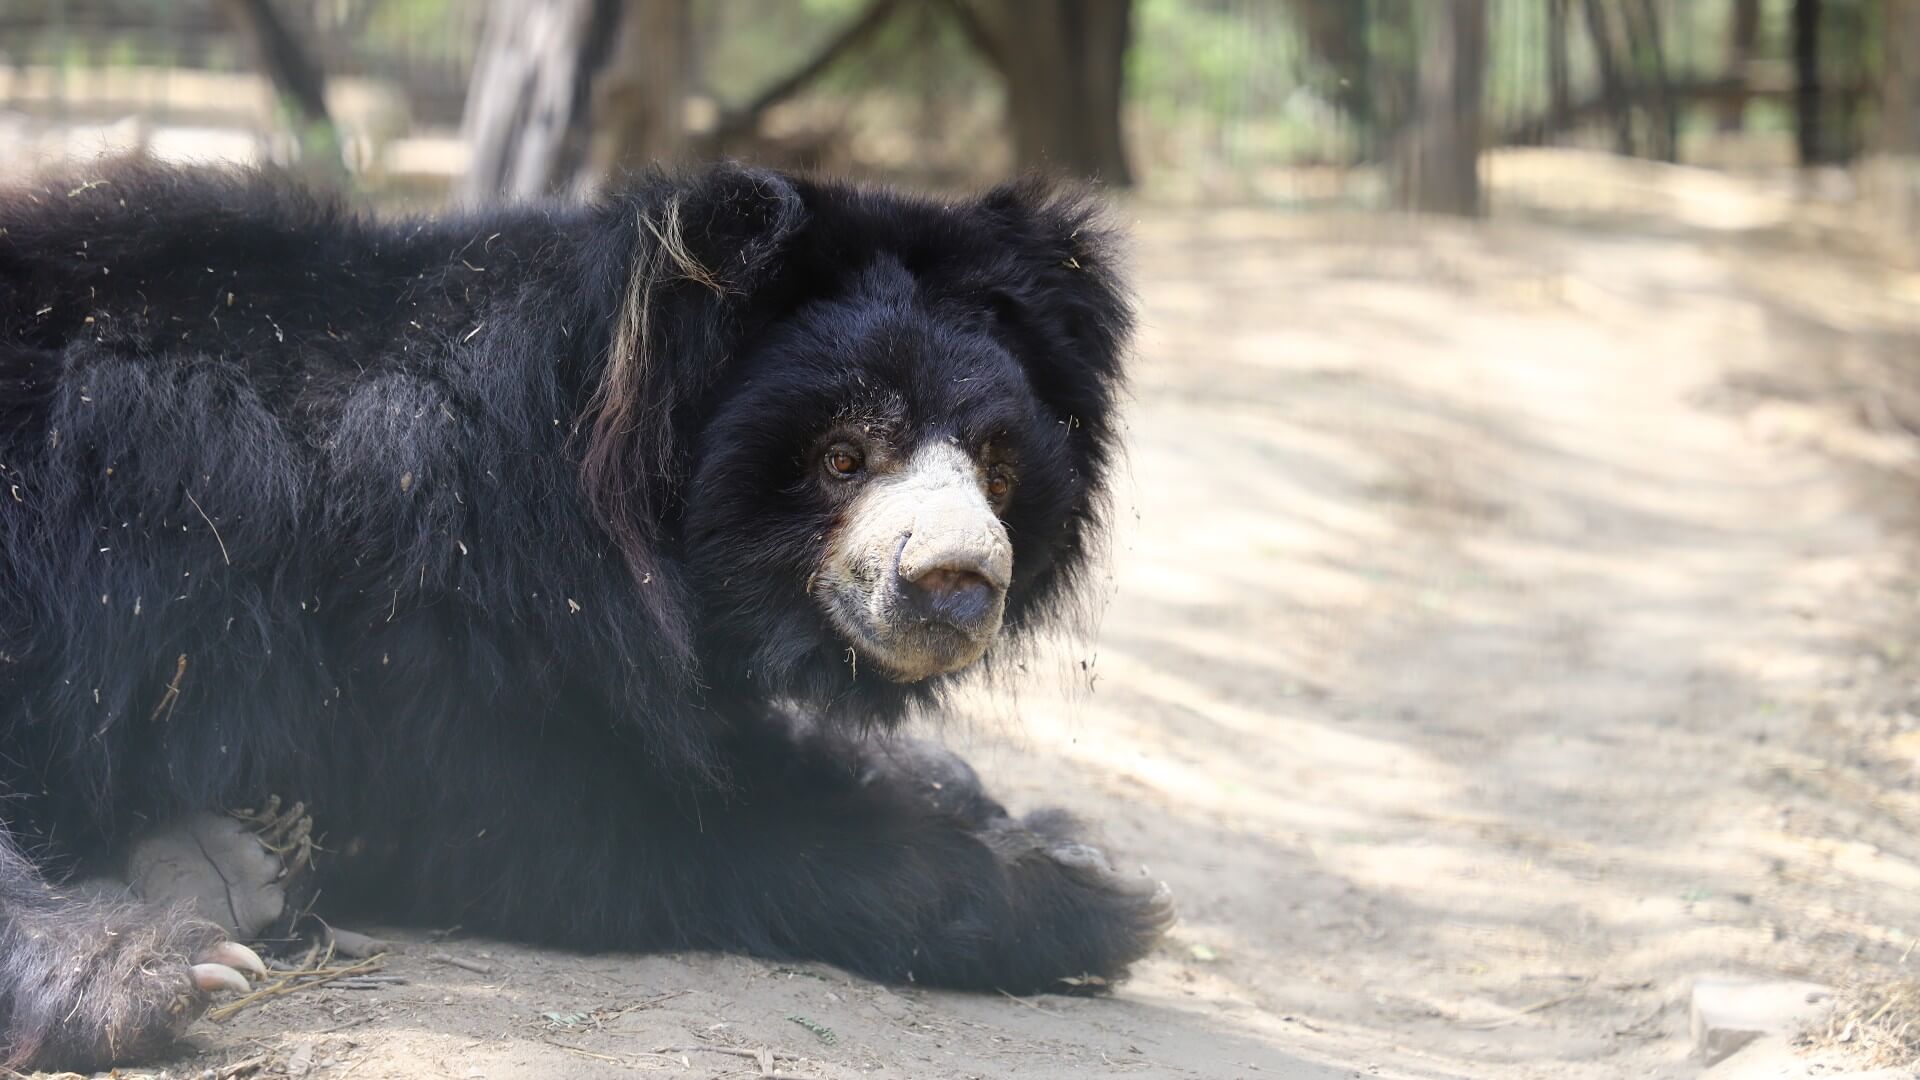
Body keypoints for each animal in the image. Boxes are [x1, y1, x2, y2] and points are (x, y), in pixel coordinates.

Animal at [0, 160, 1171, 1071]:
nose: (956, 584)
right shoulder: (443, 617)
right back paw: (146, 970)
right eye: (844, 456)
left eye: (997, 464)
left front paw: (1014, 811)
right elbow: (593, 821)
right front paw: (1091, 896)